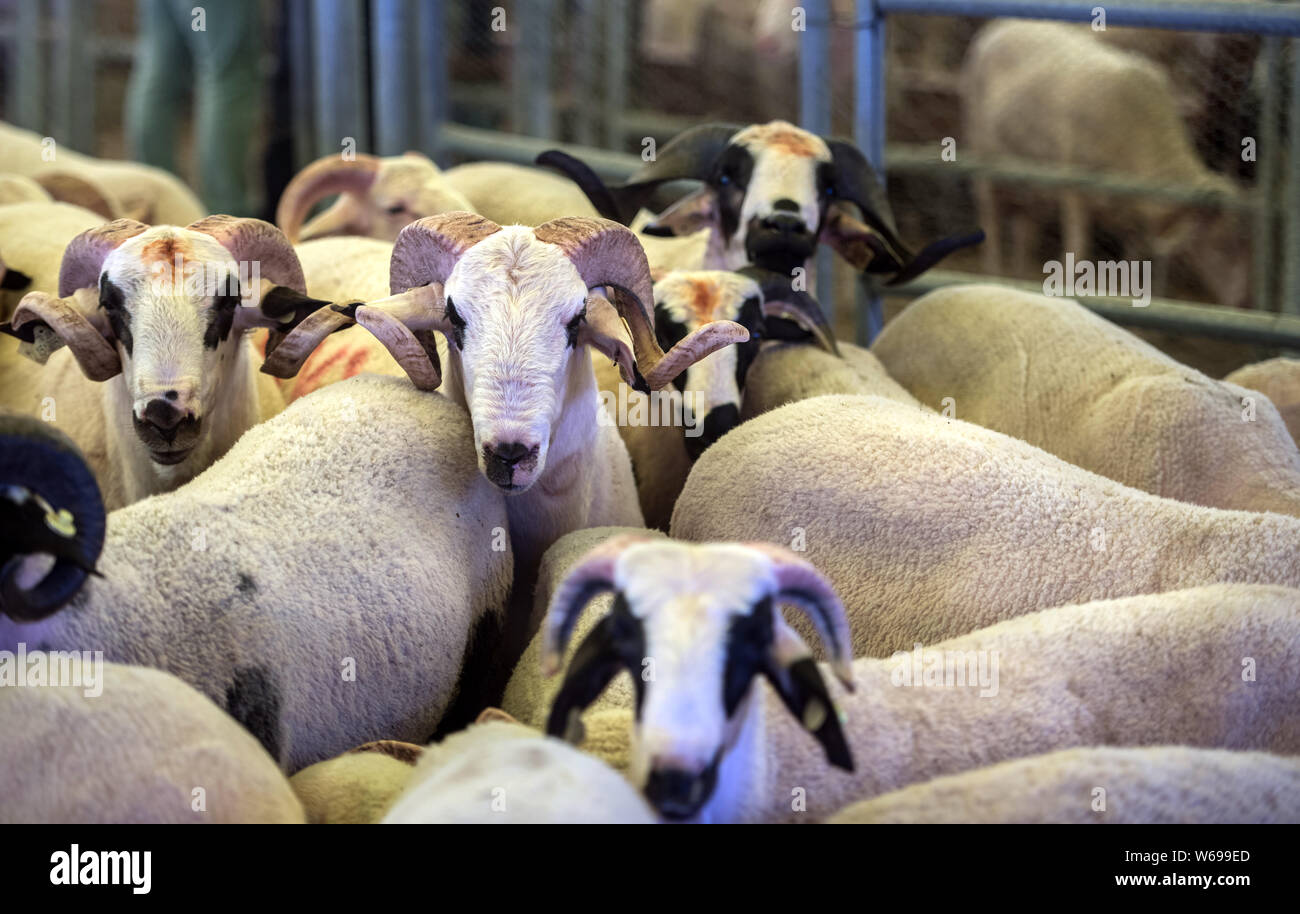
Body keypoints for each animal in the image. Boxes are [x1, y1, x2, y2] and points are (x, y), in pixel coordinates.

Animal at [962, 21, 1248, 307]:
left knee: (1025, 228)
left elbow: (1133, 261)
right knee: (990, 217)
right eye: (1221, 244)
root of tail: (999, 26)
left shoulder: (1132, 215)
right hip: (982, 152)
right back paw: (993, 276)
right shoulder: (1073, 190)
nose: (1243, 301)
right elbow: (1077, 251)